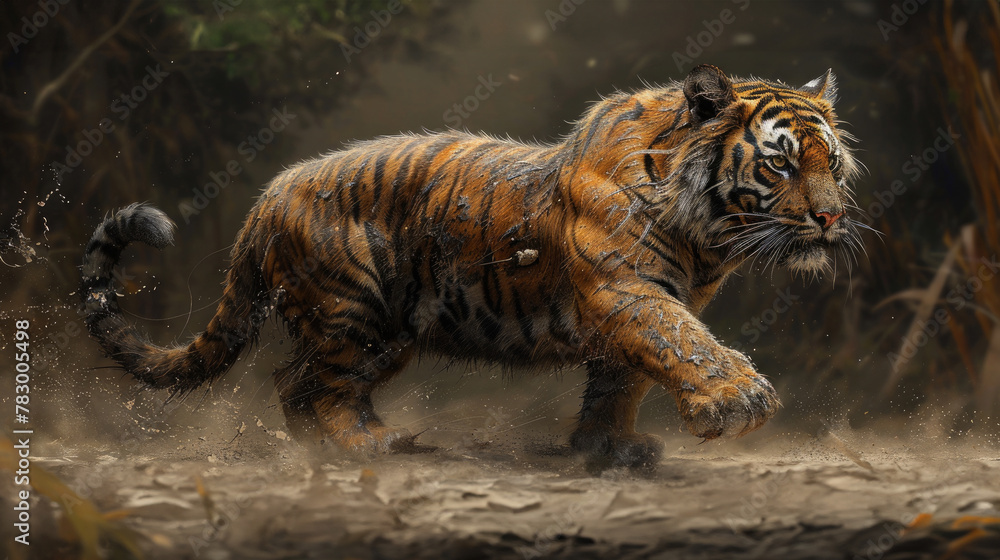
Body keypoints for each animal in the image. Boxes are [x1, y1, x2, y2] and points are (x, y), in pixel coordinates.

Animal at [81, 64, 861, 470]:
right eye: (781, 163)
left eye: (832, 164)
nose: (832, 220)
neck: (706, 235)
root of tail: (265, 201)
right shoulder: (630, 291)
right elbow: (684, 344)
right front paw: (738, 402)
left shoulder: (645, 302)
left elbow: (625, 379)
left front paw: (609, 446)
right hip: (351, 310)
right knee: (315, 383)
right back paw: (367, 444)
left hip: (383, 333)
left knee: (294, 381)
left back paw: (332, 447)